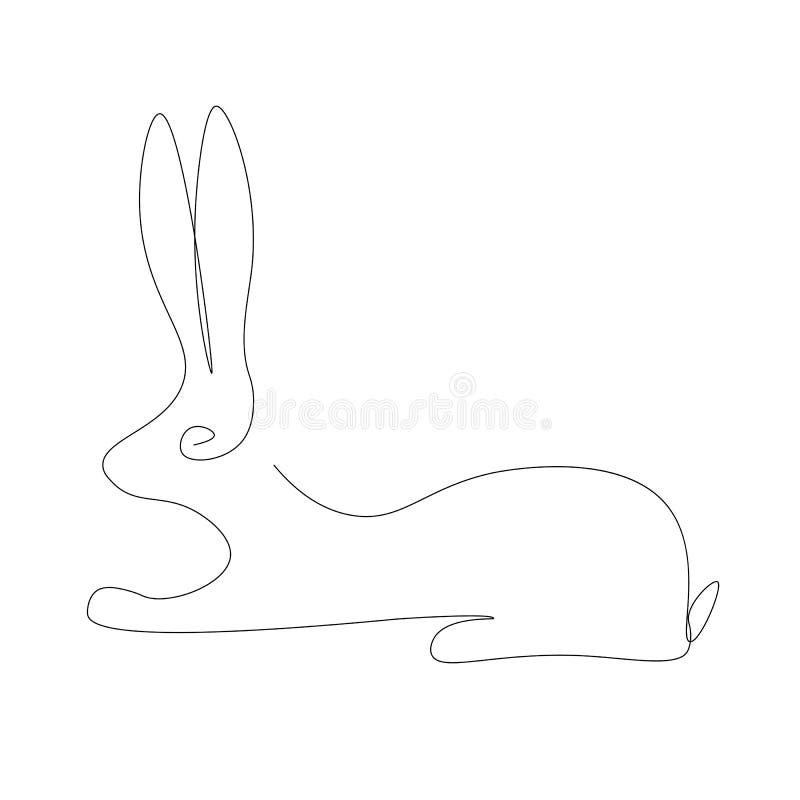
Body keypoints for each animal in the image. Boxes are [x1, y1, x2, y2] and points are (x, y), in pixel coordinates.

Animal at [88, 107, 719, 663]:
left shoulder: (258, 594)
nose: (111, 464)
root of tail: (680, 618)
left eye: (189, 435)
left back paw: (461, 640)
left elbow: (167, 611)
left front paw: (111, 601)